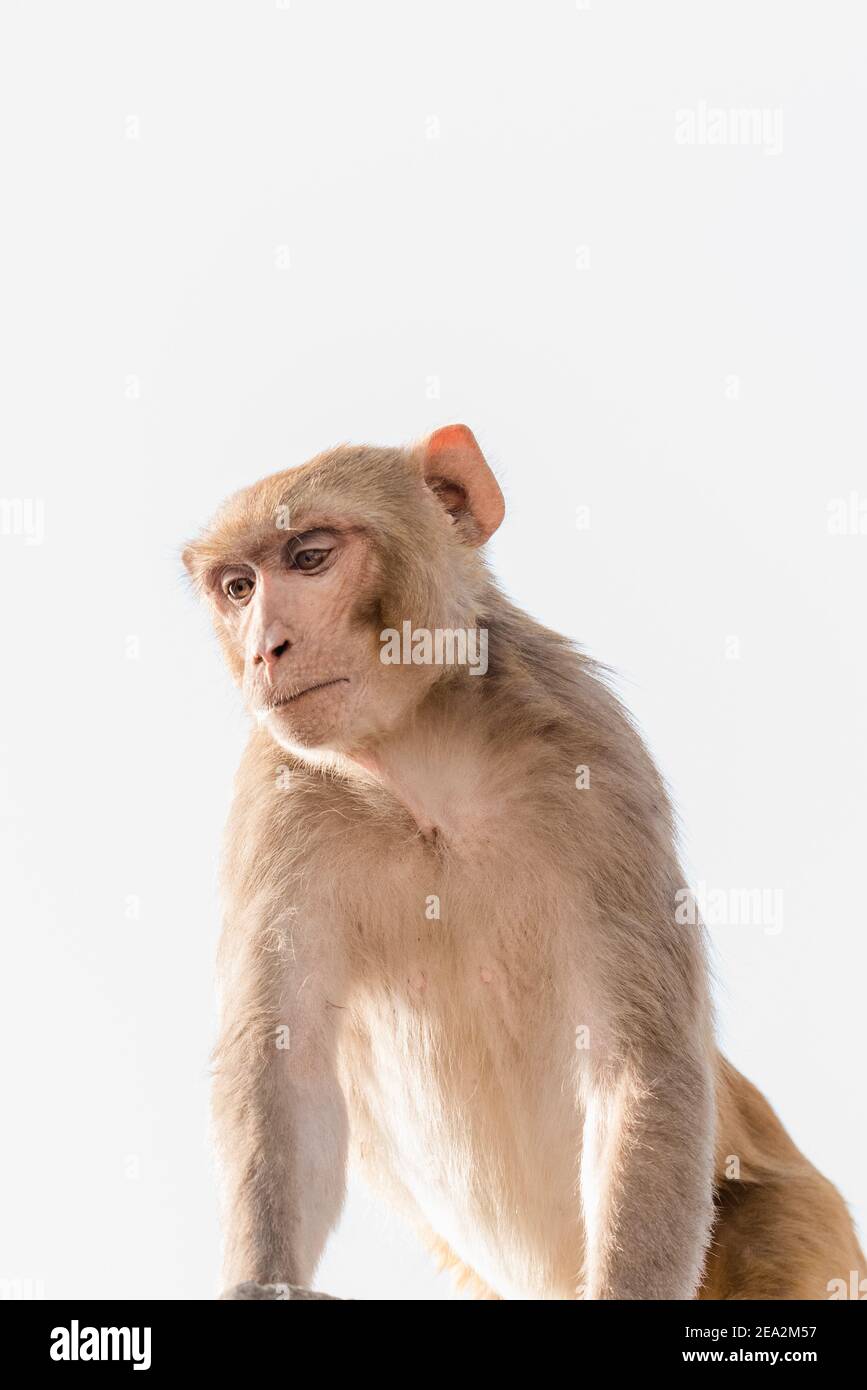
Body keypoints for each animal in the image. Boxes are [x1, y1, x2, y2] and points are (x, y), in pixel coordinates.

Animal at [183, 424, 864, 1300]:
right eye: (238, 587)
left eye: (308, 558)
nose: (266, 649)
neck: (422, 760)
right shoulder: (275, 798)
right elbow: (286, 1066)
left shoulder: (595, 758)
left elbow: (638, 1067)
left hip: (801, 1229)